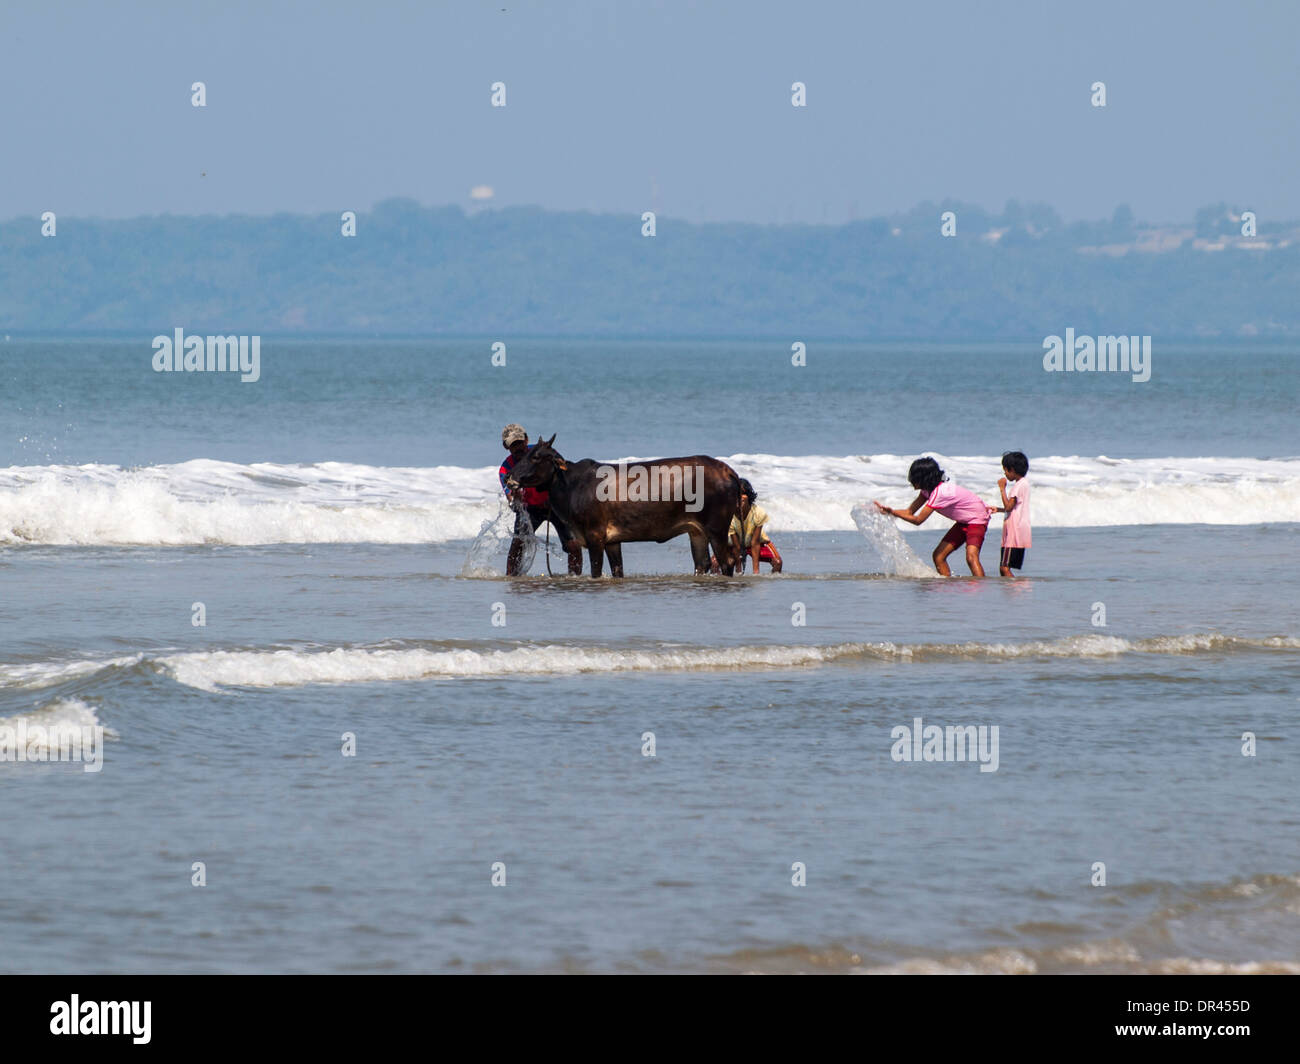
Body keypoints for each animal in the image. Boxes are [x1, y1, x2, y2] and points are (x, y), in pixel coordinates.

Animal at [504, 436, 742, 578]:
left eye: (536, 456)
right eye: (525, 454)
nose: (509, 477)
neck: (570, 485)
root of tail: (728, 471)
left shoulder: (595, 537)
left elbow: (596, 570)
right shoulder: (612, 541)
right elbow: (617, 570)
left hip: (717, 529)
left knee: (727, 561)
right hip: (696, 532)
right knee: (702, 563)